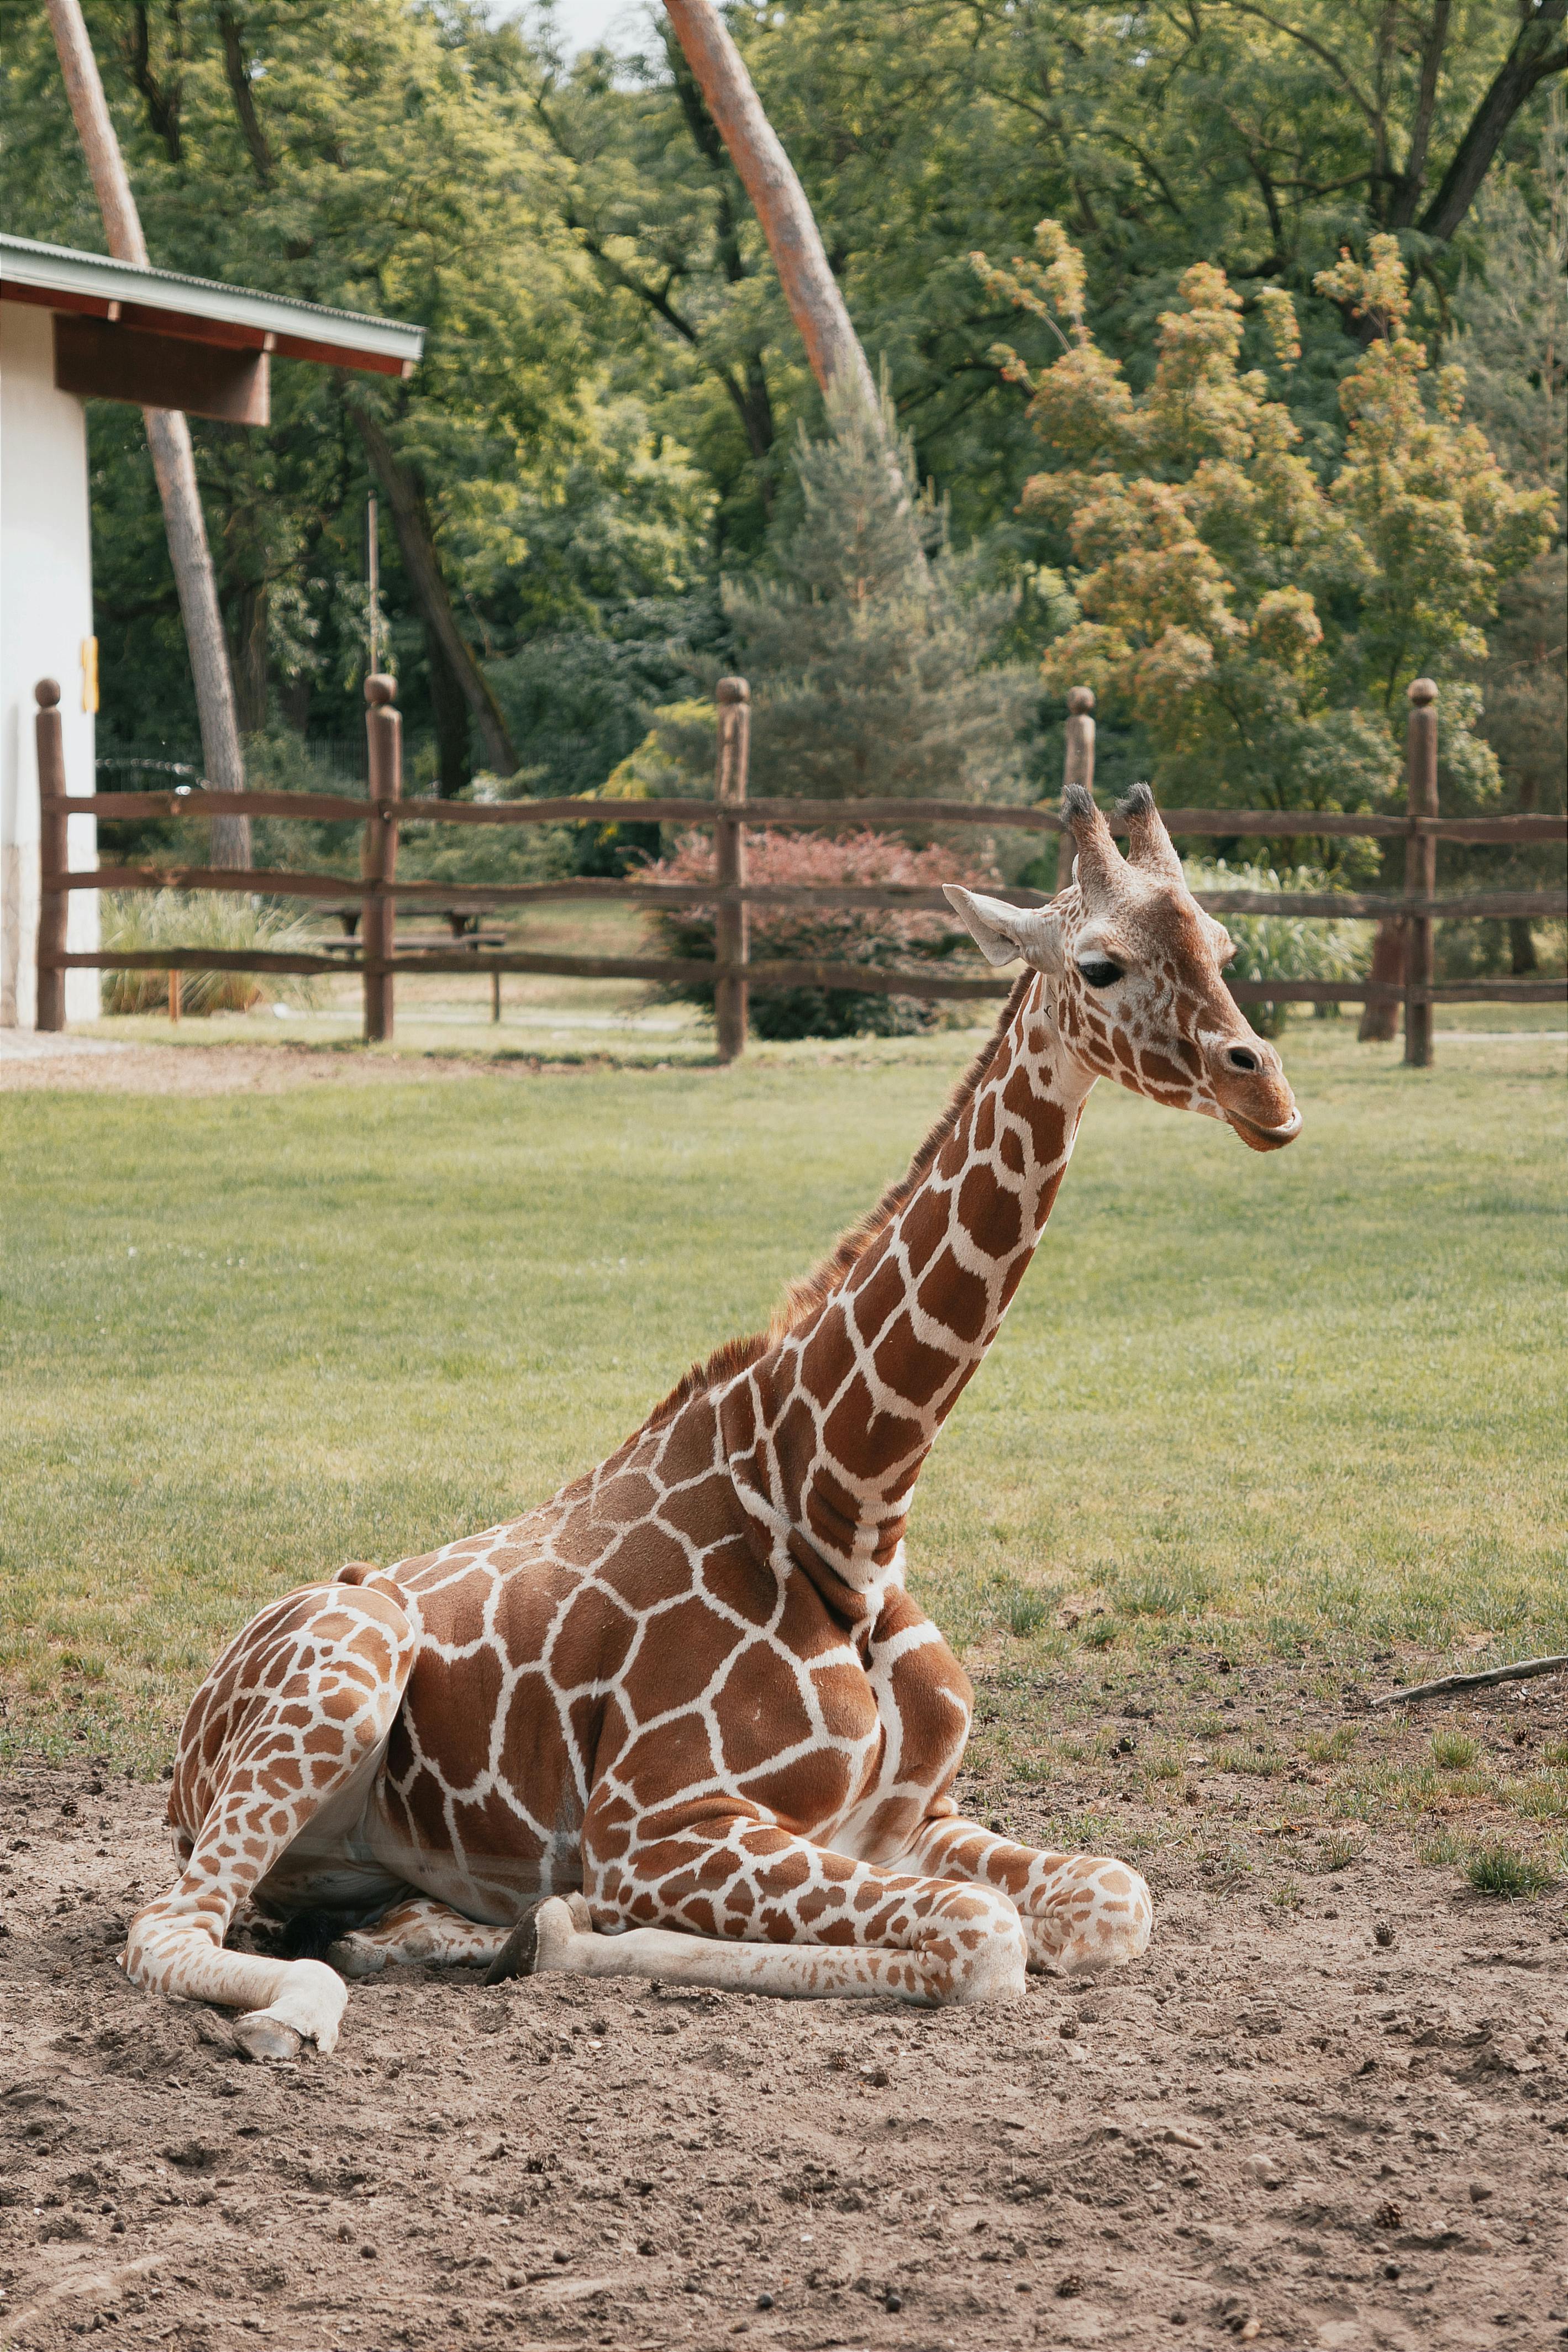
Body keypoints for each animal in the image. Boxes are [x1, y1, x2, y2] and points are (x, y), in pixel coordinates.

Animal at [121, 783, 1300, 2059]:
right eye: (1099, 964)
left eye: (1224, 946)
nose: (1265, 1090)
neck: (847, 1508)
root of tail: (185, 1743)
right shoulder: (657, 1824)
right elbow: (984, 1934)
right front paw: (574, 1928)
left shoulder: (906, 1816)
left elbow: (1118, 1895)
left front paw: (546, 1932)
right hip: (346, 1661)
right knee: (169, 1927)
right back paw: (306, 2006)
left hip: (354, 1855)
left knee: (346, 1920)